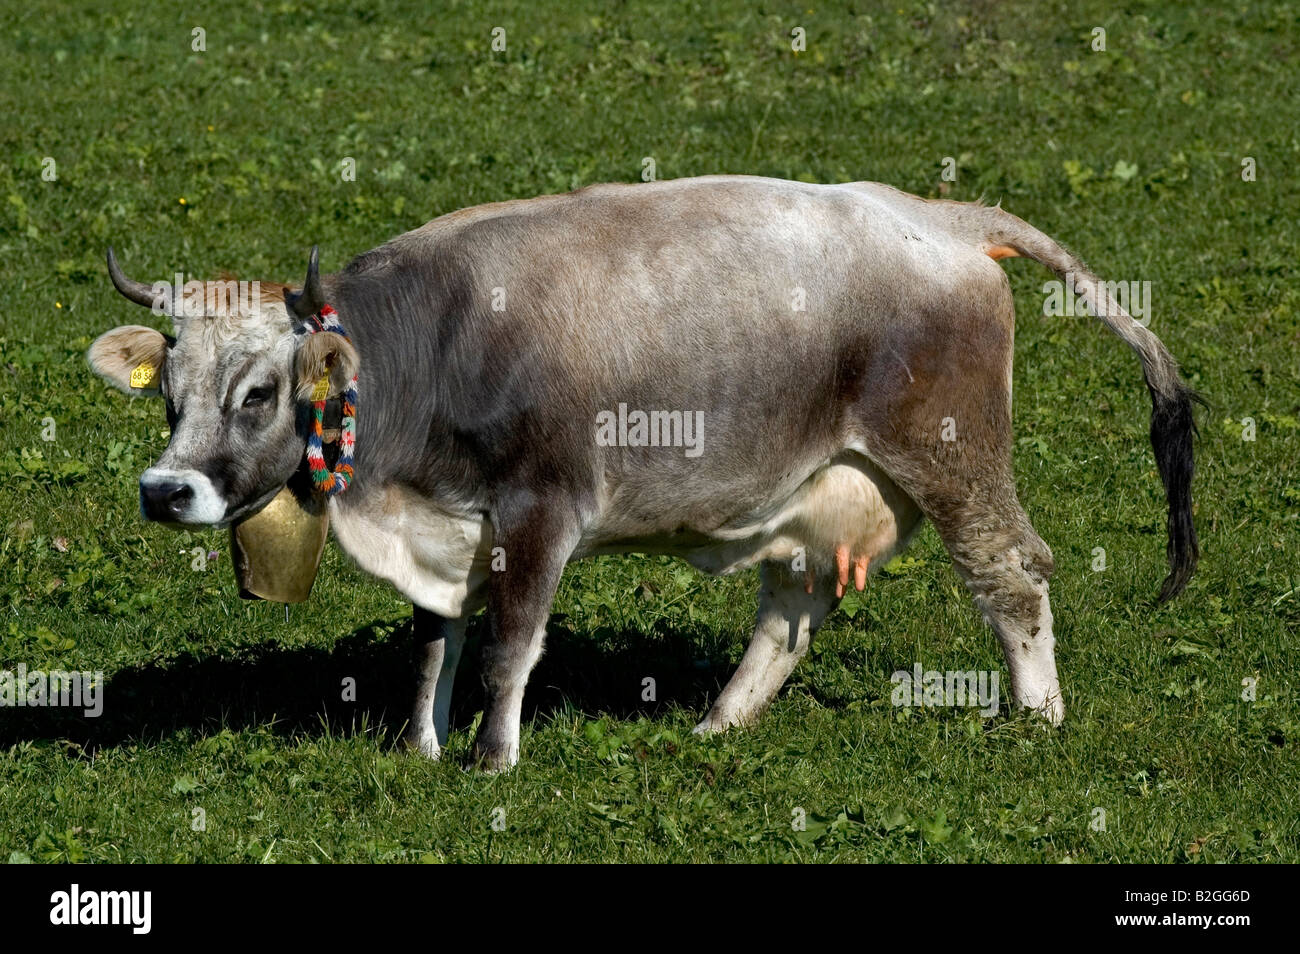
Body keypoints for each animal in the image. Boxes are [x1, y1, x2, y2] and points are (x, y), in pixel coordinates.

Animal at [87, 176, 1199, 770]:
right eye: (168, 392)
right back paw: (719, 724)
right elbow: (434, 644)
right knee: (793, 604)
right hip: (824, 477)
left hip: (953, 457)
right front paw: (420, 747)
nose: (165, 491)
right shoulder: (448, 526)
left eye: (259, 393)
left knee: (1012, 573)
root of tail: (940, 217)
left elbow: (510, 649)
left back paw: (1038, 721)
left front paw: (492, 760)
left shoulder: (542, 506)